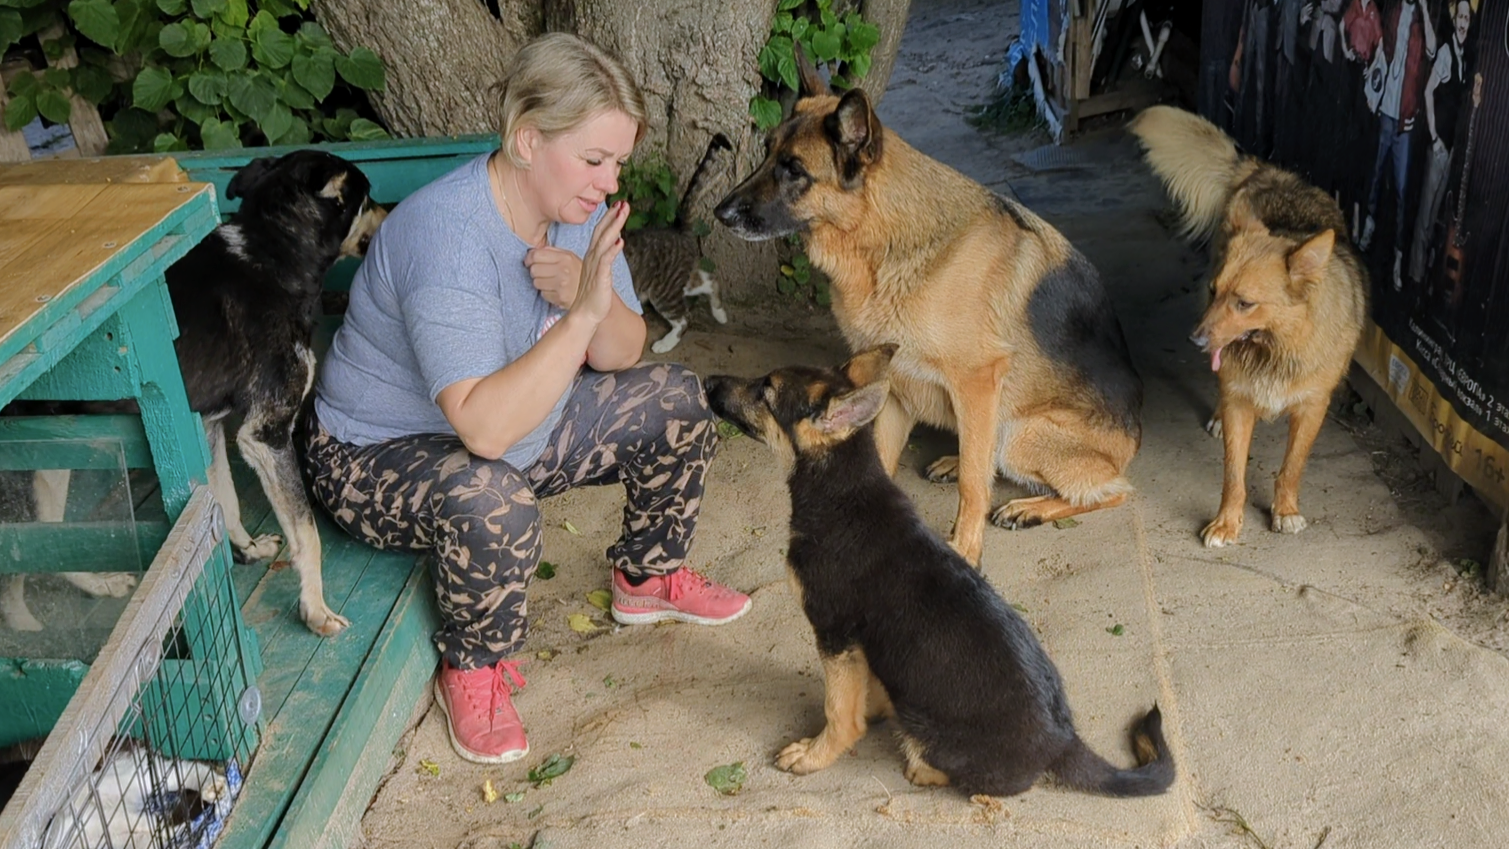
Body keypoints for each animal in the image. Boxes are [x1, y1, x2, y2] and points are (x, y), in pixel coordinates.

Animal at [2, 153, 389, 633]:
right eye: (367, 198)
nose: (393, 209)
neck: (272, 253)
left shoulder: (207, 426)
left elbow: (224, 499)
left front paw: (248, 549)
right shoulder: (268, 434)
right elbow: (307, 533)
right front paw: (315, 609)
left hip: (48, 460)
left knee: (50, 541)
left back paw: (99, 582)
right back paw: (22, 621)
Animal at [627, 132, 733, 352]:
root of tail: (678, 228)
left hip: (663, 292)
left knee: (685, 319)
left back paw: (665, 344)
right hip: (679, 281)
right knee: (710, 280)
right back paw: (720, 313)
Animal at [700, 343, 1170, 796]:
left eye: (765, 390)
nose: (706, 381)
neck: (843, 493)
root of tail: (1063, 743)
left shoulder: (835, 633)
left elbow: (840, 711)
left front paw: (816, 754)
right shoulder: (862, 645)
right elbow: (866, 686)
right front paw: (871, 706)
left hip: (930, 734)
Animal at [712, 49, 1134, 567]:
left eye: (794, 170)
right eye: (768, 153)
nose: (720, 213)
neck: (883, 243)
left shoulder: (978, 379)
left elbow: (975, 485)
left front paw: (965, 549)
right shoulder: (893, 382)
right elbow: (886, 457)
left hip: (1022, 432)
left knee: (1110, 489)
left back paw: (1031, 507)